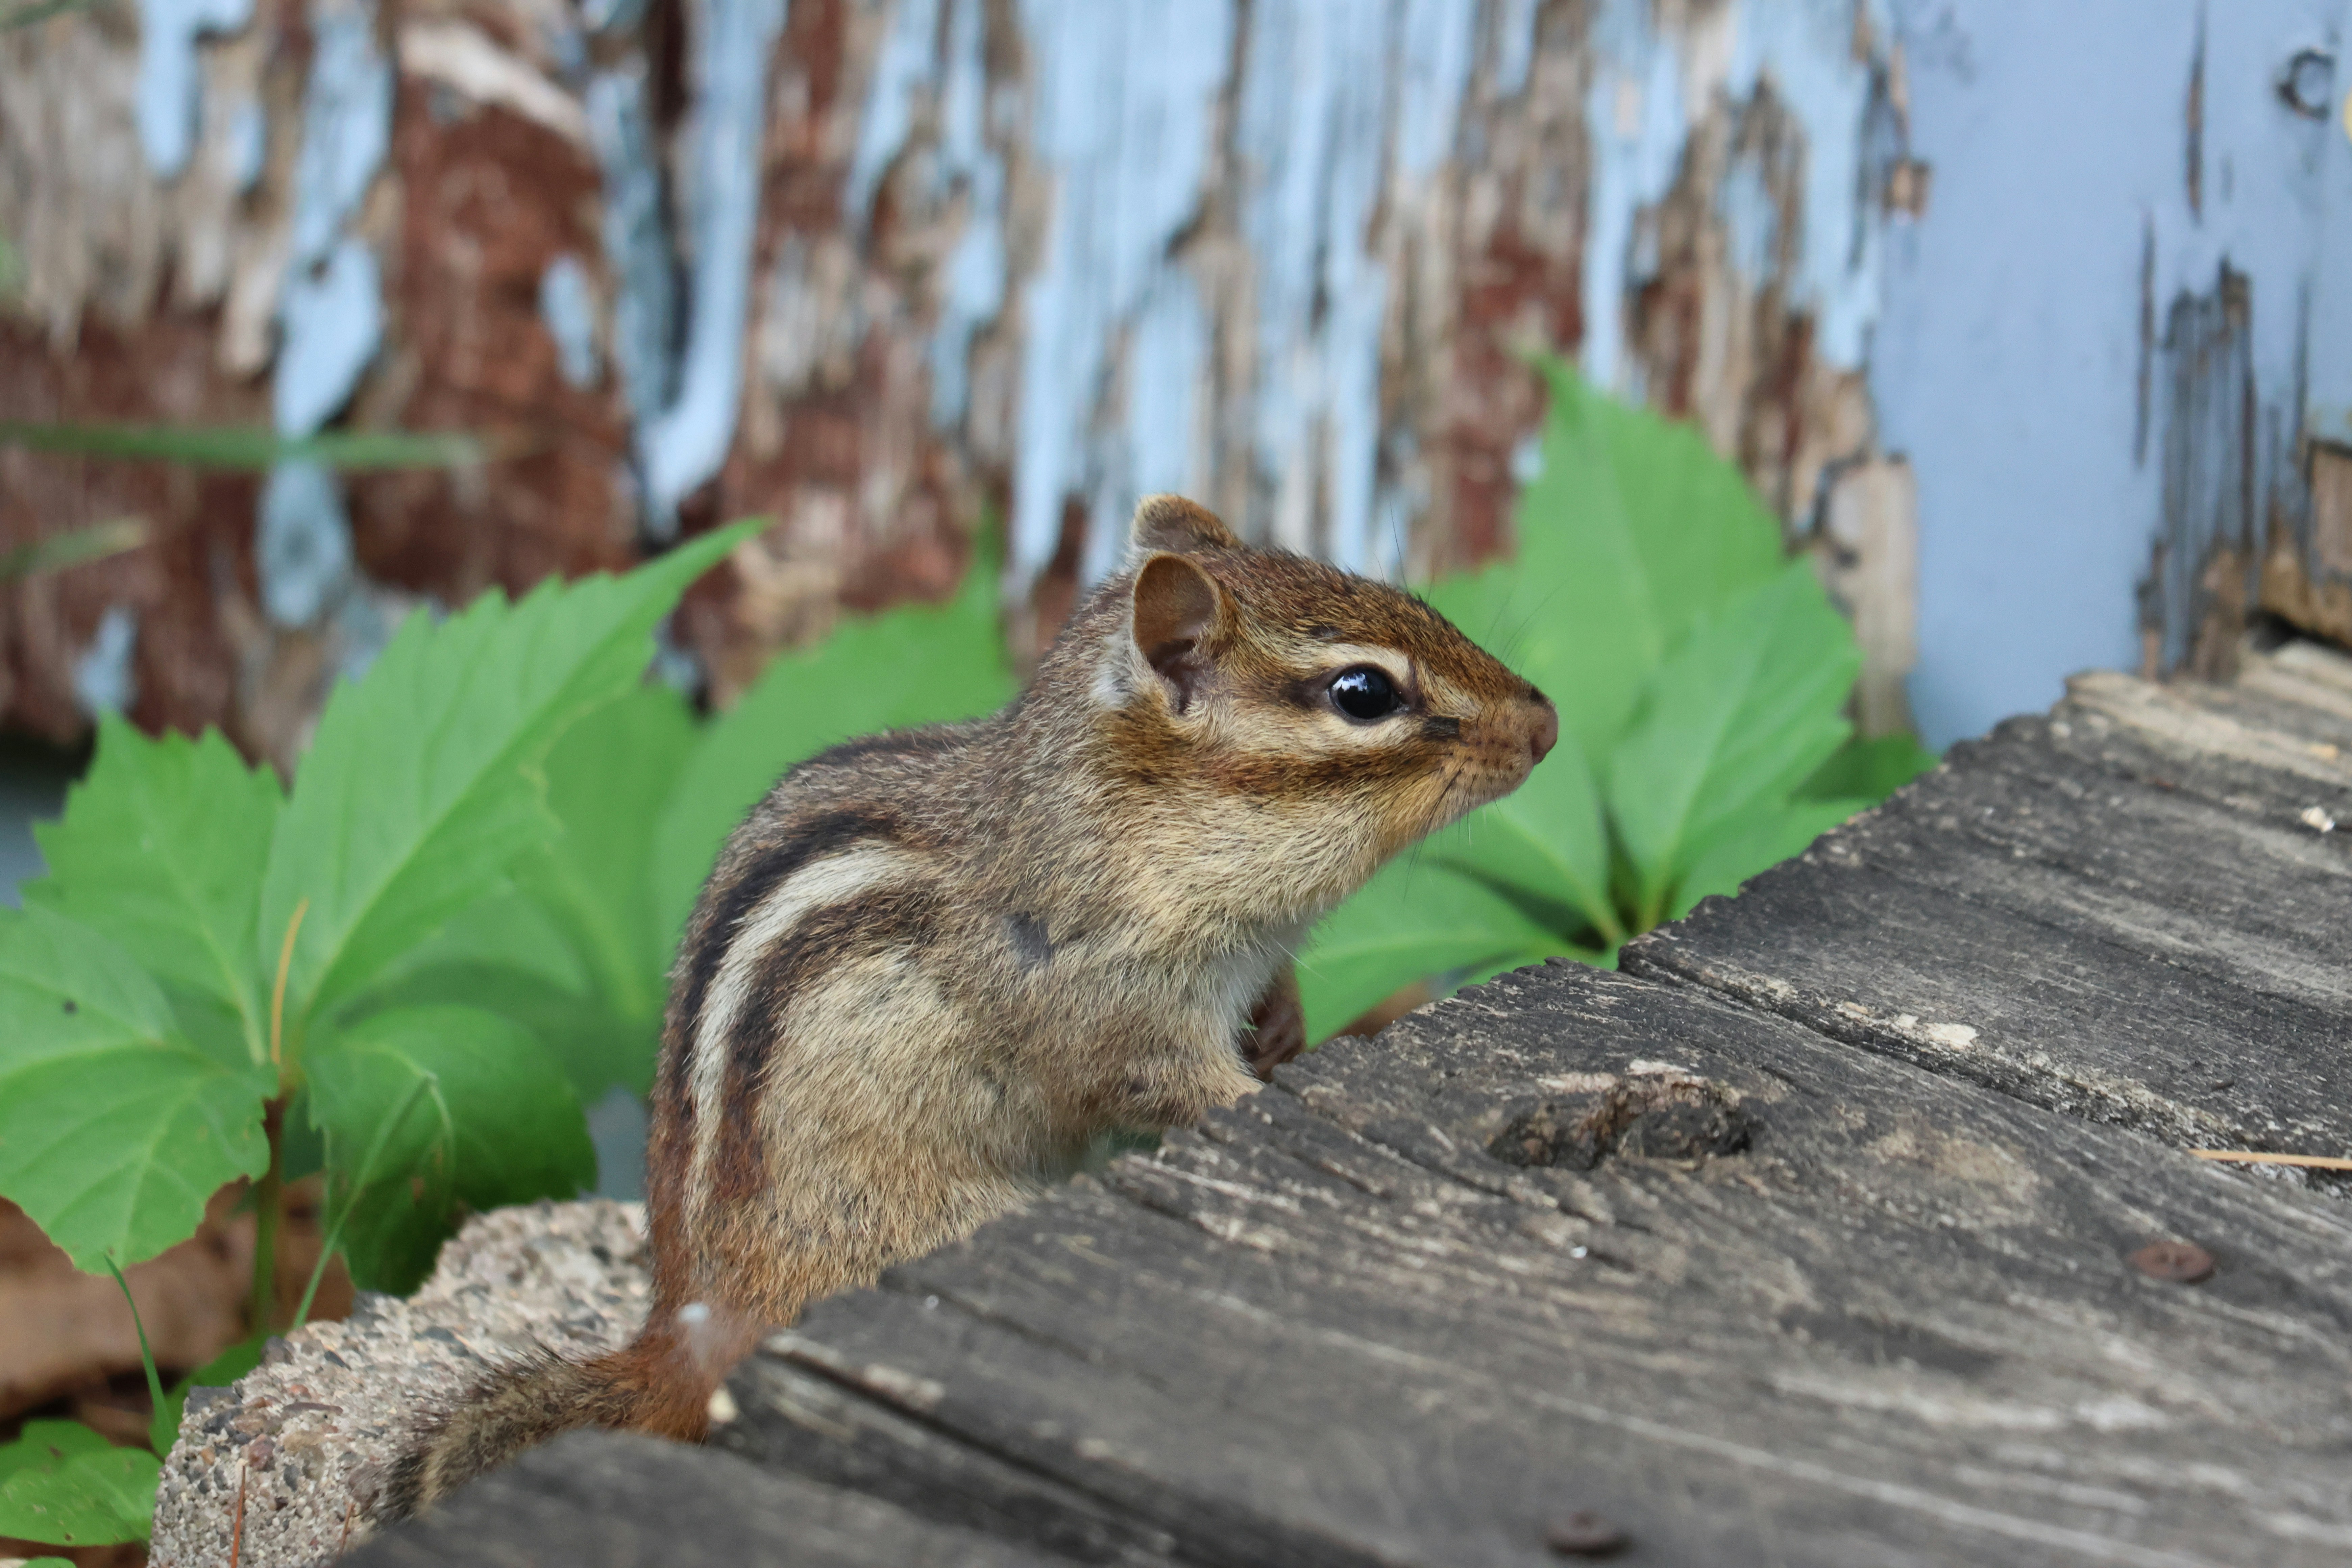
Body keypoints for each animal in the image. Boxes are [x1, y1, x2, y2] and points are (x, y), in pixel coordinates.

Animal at [381, 495, 1557, 1515]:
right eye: (1364, 693)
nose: (1544, 722)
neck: (1135, 820)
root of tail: (684, 1331)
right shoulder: (1104, 1007)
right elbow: (1156, 1080)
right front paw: (1262, 1091)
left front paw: (1288, 1026)